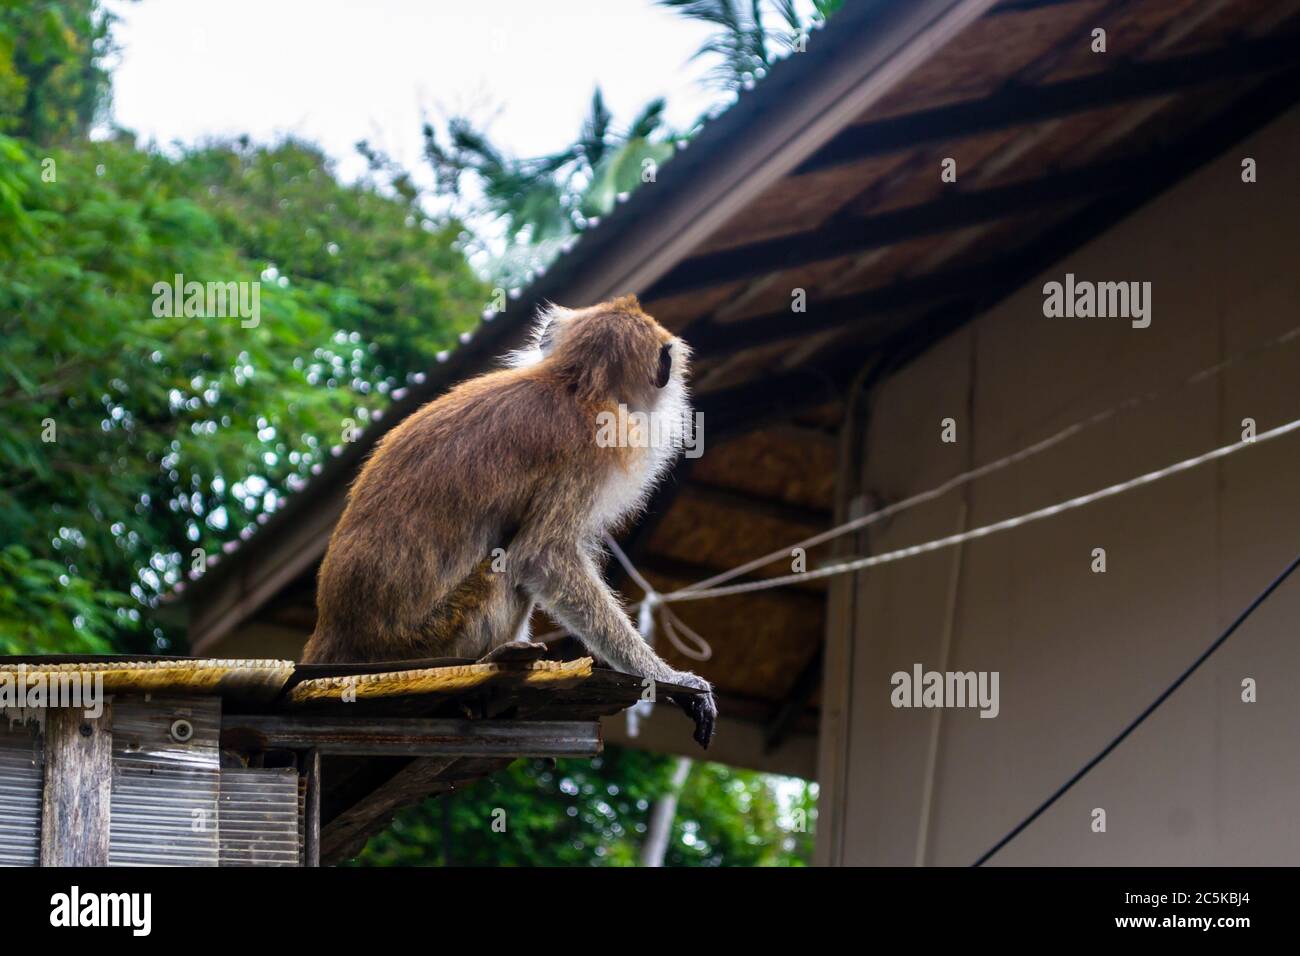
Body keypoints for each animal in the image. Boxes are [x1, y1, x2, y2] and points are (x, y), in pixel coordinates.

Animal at [300, 295, 716, 747]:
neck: (572, 383)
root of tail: (332, 639)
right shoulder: (595, 449)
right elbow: (543, 556)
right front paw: (669, 678)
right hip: (435, 638)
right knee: (508, 568)